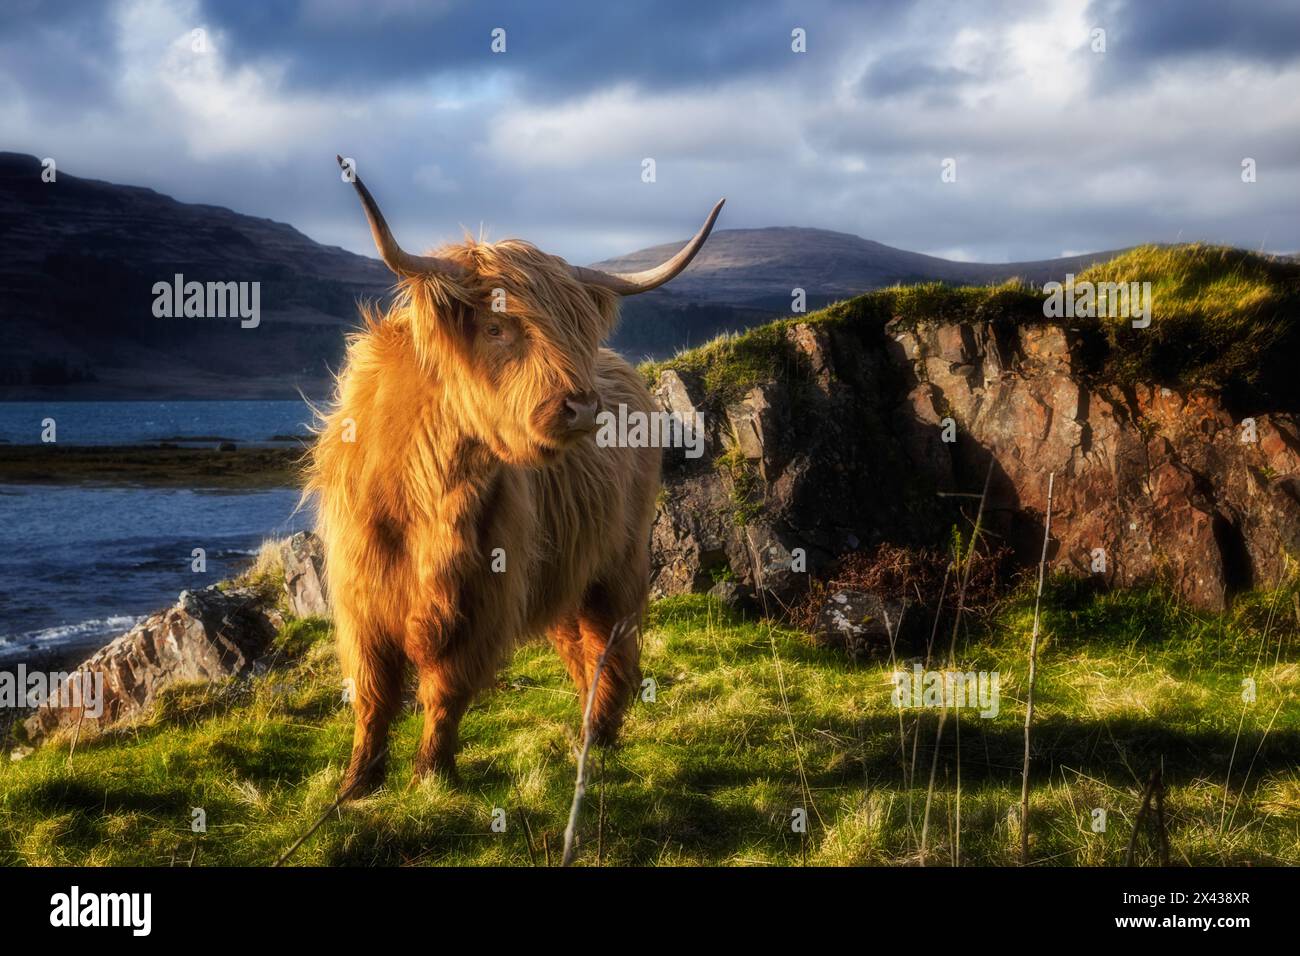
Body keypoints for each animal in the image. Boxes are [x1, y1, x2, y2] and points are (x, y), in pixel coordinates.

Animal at [305, 156, 723, 797]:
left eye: (577, 330)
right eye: (498, 328)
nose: (582, 407)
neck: (429, 489)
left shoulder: (480, 598)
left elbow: (445, 689)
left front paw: (432, 776)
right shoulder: (361, 601)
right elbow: (373, 693)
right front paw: (357, 785)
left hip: (620, 560)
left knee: (613, 647)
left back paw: (599, 741)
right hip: (566, 569)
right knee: (579, 647)